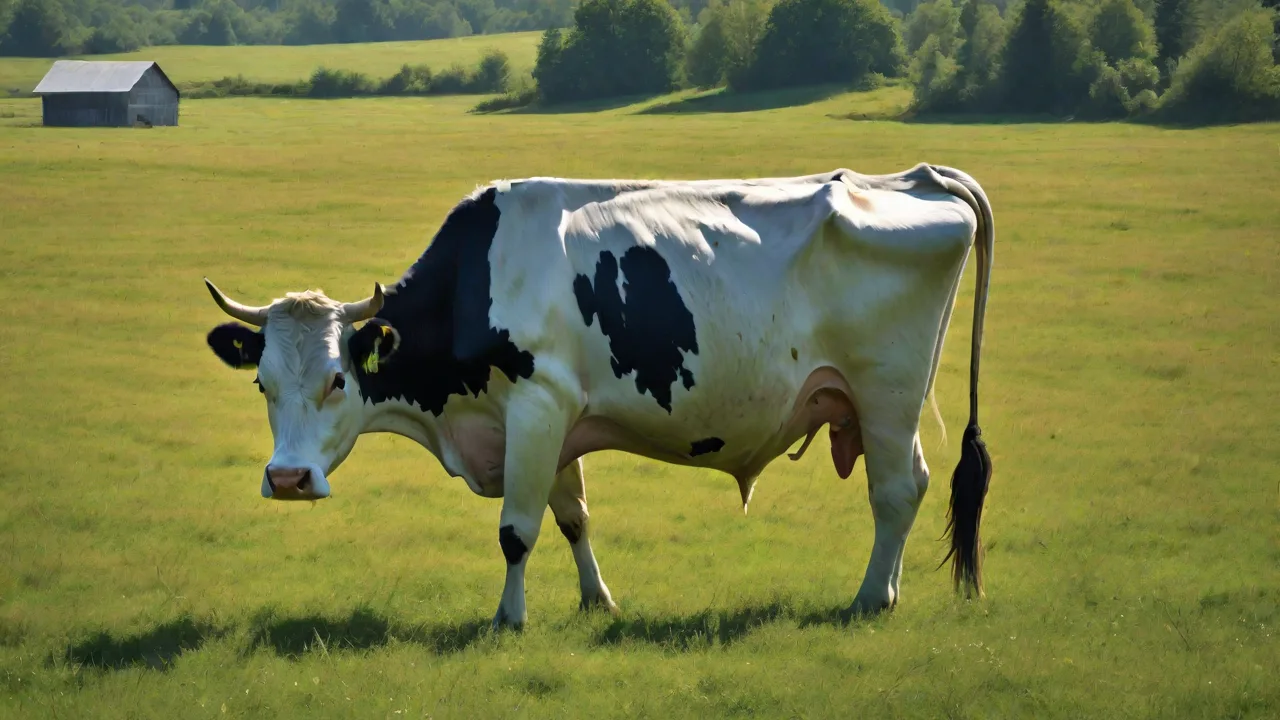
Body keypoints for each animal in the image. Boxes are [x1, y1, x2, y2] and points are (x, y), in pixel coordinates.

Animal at [202, 163, 995, 629]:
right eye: (263, 382)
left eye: (338, 379)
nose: (288, 479)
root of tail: (914, 177)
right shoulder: (555, 420)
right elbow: (573, 517)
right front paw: (596, 601)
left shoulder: (536, 406)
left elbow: (516, 531)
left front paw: (508, 620)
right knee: (911, 484)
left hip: (886, 394)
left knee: (895, 492)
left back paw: (872, 598)